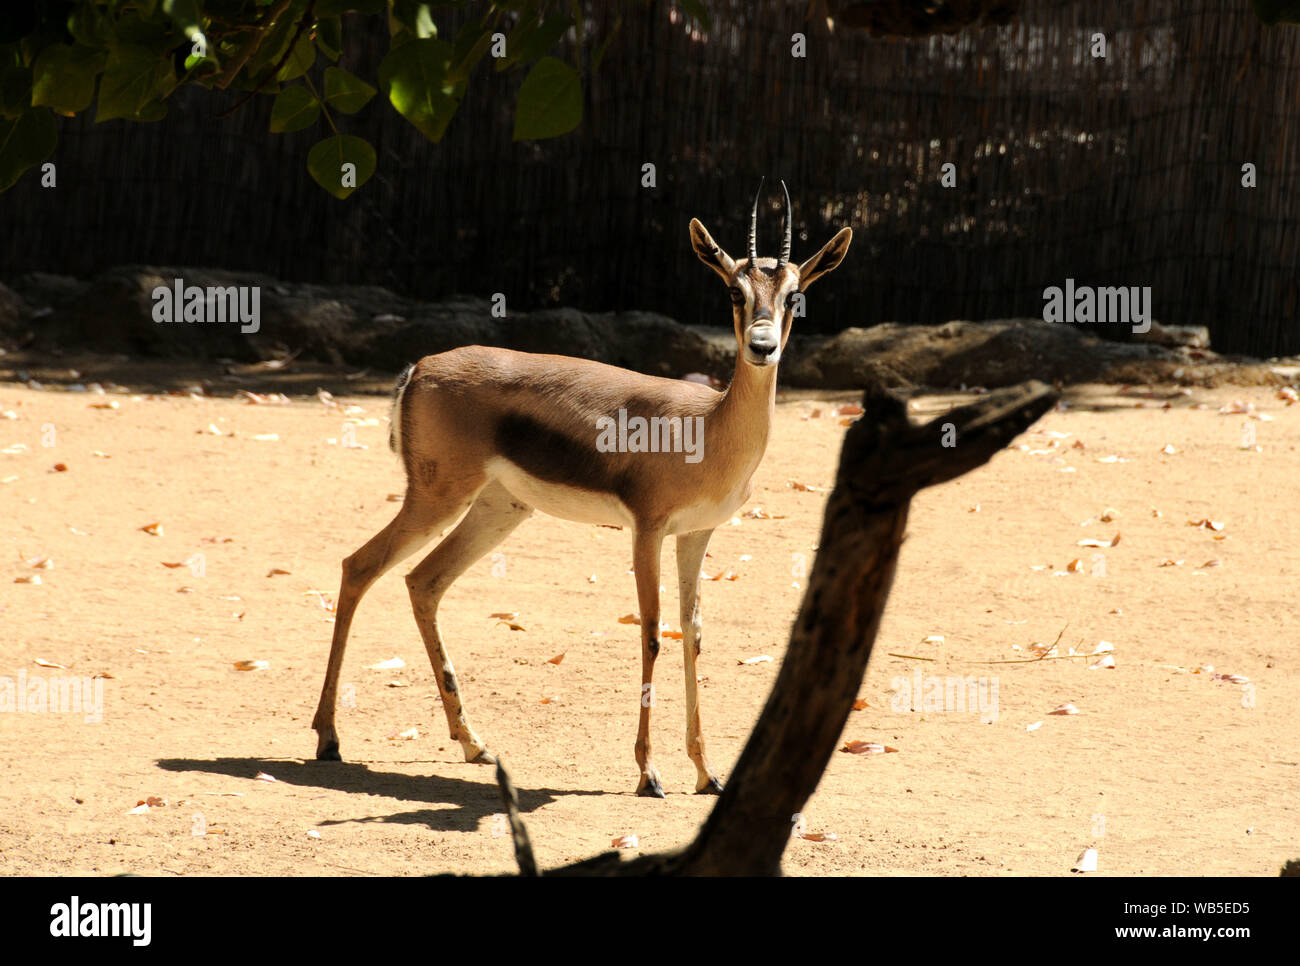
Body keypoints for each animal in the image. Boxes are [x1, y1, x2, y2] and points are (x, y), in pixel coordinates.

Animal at [311, 182, 852, 796]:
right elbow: (651, 633)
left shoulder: (697, 535)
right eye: (734, 291)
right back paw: (328, 738)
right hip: (437, 498)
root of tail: (418, 368)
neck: (709, 427)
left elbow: (691, 635)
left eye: (793, 295)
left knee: (422, 582)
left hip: (499, 509)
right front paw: (648, 773)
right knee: (359, 566)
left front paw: (706, 773)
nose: (762, 347)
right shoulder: (647, 530)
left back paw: (473, 744)